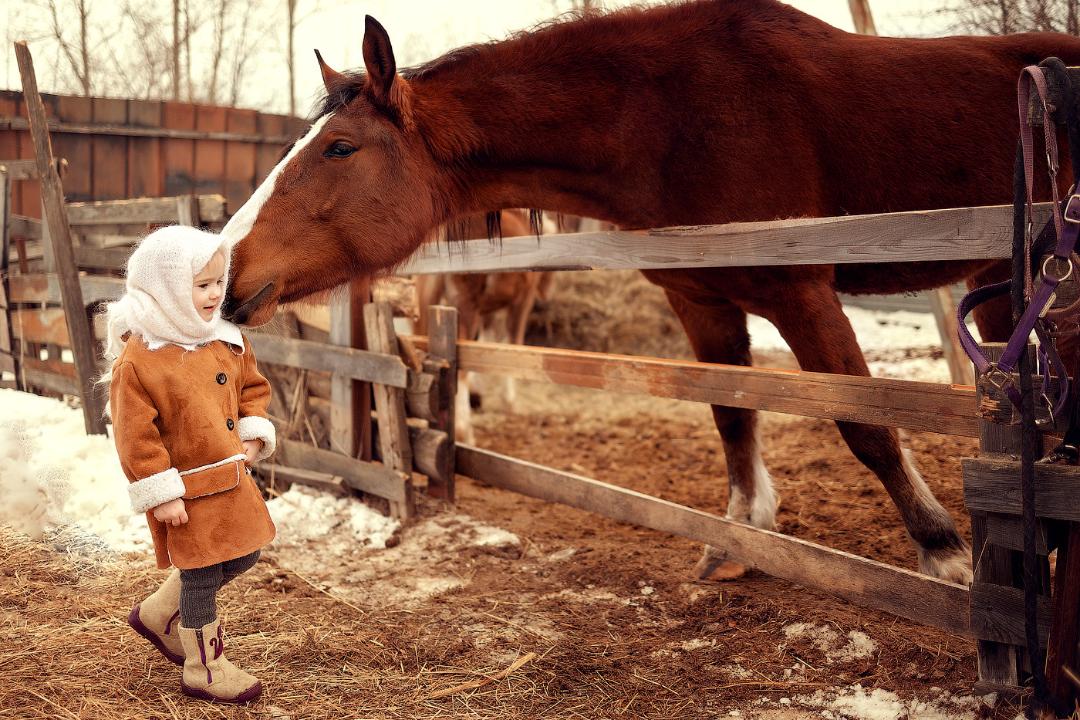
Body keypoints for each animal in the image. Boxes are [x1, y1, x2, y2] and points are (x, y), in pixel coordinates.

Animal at [217, 0, 1080, 587]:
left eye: (339, 147)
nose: (223, 273)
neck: (674, 116)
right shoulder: (703, 303)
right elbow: (733, 414)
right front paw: (742, 534)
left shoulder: (804, 294)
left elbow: (865, 426)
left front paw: (943, 551)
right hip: (1005, 287)